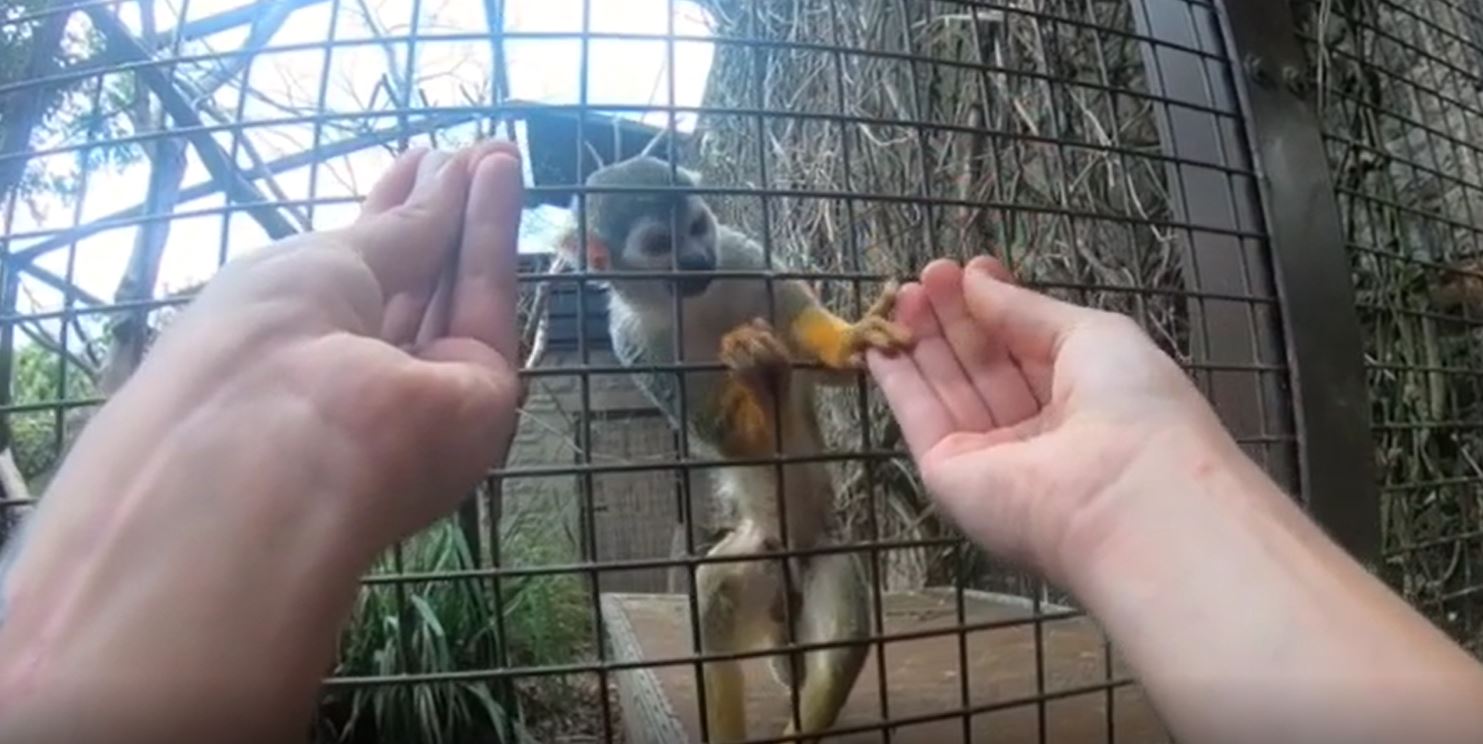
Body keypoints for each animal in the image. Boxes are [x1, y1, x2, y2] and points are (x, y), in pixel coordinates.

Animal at [557, 155, 913, 743]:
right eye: (660, 243)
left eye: (698, 227)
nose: (700, 259)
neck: (690, 302)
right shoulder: (634, 344)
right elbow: (722, 432)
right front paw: (760, 376)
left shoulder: (740, 252)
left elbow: (804, 334)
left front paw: (845, 342)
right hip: (759, 552)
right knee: (712, 602)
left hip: (821, 553)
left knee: (844, 638)